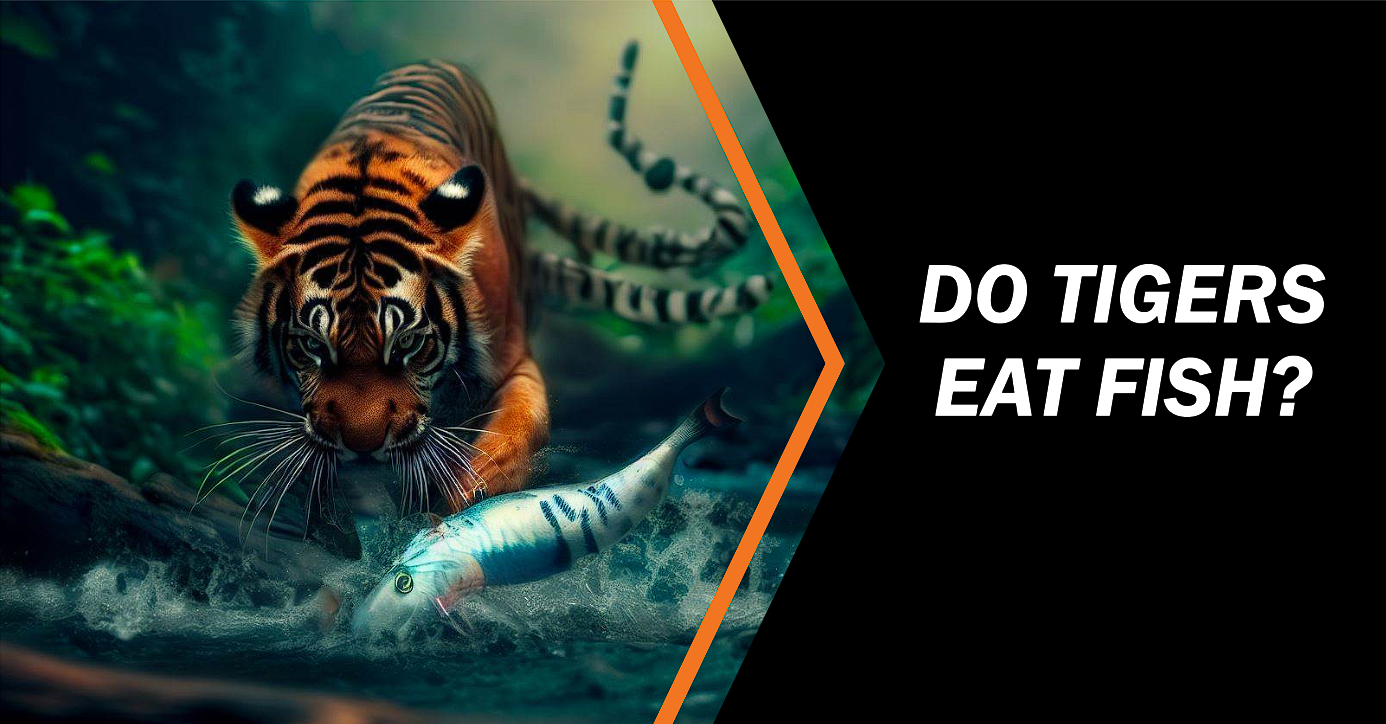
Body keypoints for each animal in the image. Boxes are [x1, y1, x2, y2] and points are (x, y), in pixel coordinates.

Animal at [227, 42, 770, 522]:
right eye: (311, 345)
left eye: (410, 344)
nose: (362, 448)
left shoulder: (515, 363)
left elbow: (510, 439)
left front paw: (458, 504)